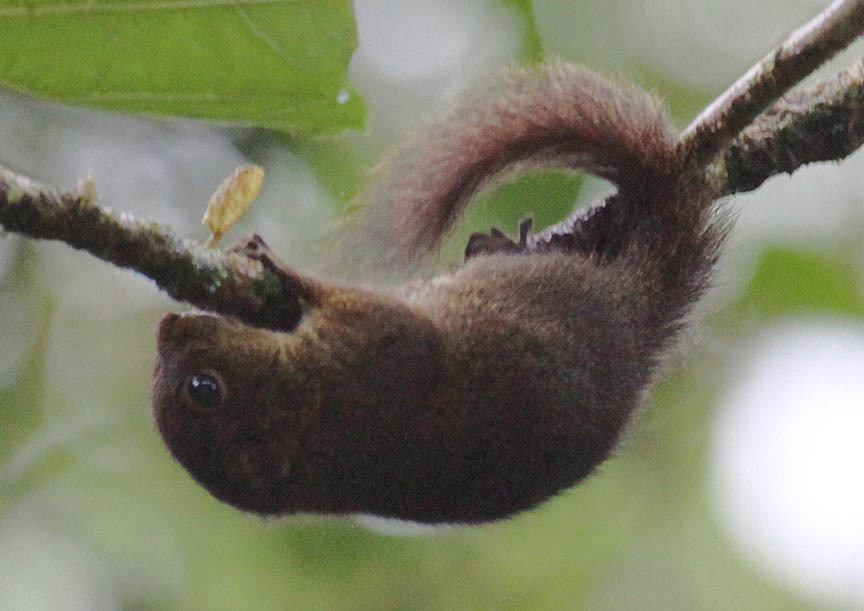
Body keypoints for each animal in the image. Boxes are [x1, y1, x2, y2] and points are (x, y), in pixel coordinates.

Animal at [152, 63, 726, 524]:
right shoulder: (369, 338)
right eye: (204, 389)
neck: (309, 415)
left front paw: (262, 256)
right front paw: (285, 270)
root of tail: (642, 311)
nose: (167, 327)